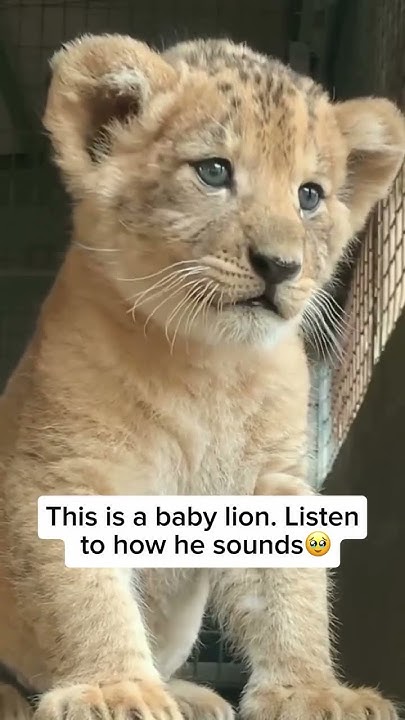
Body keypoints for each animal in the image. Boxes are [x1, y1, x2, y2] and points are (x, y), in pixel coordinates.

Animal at [0, 34, 404, 720]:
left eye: (310, 195)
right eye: (214, 171)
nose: (279, 265)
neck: (208, 364)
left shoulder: (273, 479)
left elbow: (292, 594)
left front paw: (313, 692)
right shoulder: (65, 470)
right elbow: (84, 594)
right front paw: (114, 691)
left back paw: (190, 694)